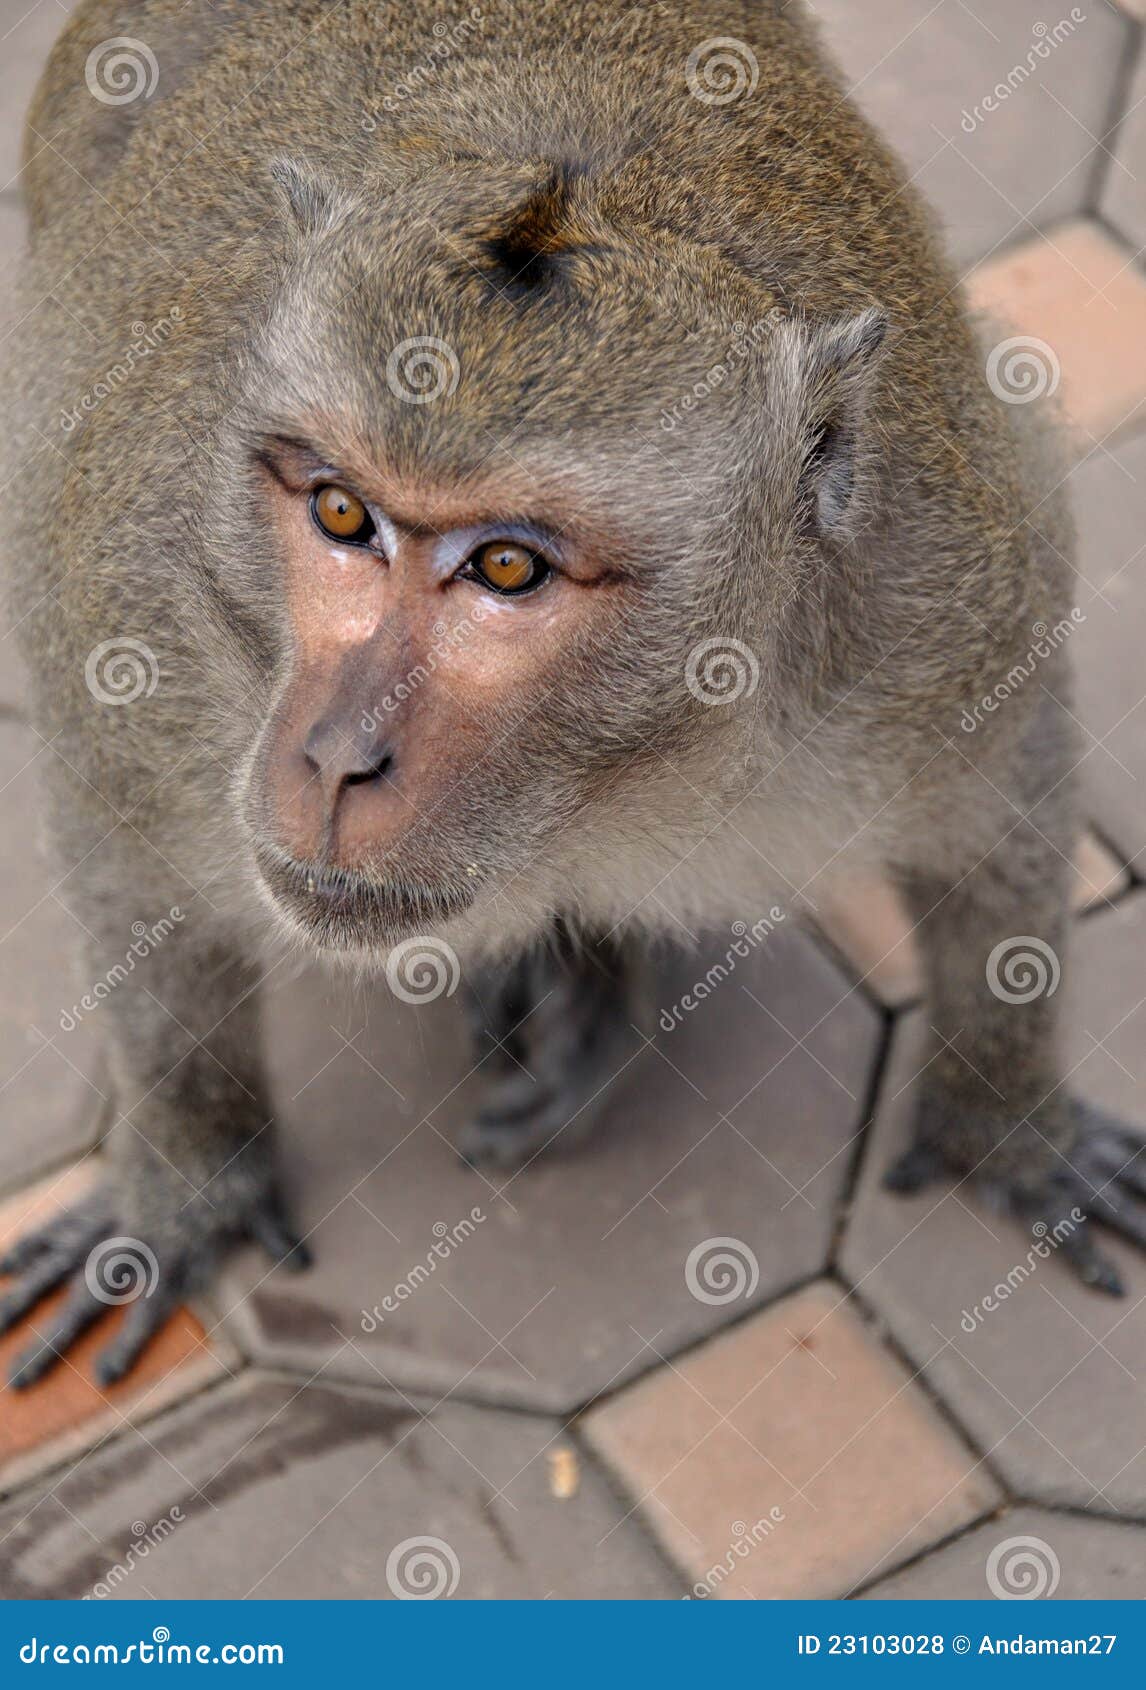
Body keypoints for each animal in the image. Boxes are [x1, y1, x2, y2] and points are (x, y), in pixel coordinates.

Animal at [1, 0, 1143, 1392]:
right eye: (341, 513)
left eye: (508, 567)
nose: (337, 757)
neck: (607, 783)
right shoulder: (139, 618)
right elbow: (127, 857)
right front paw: (186, 1173)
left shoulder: (931, 603)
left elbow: (1002, 799)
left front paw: (1006, 1117)